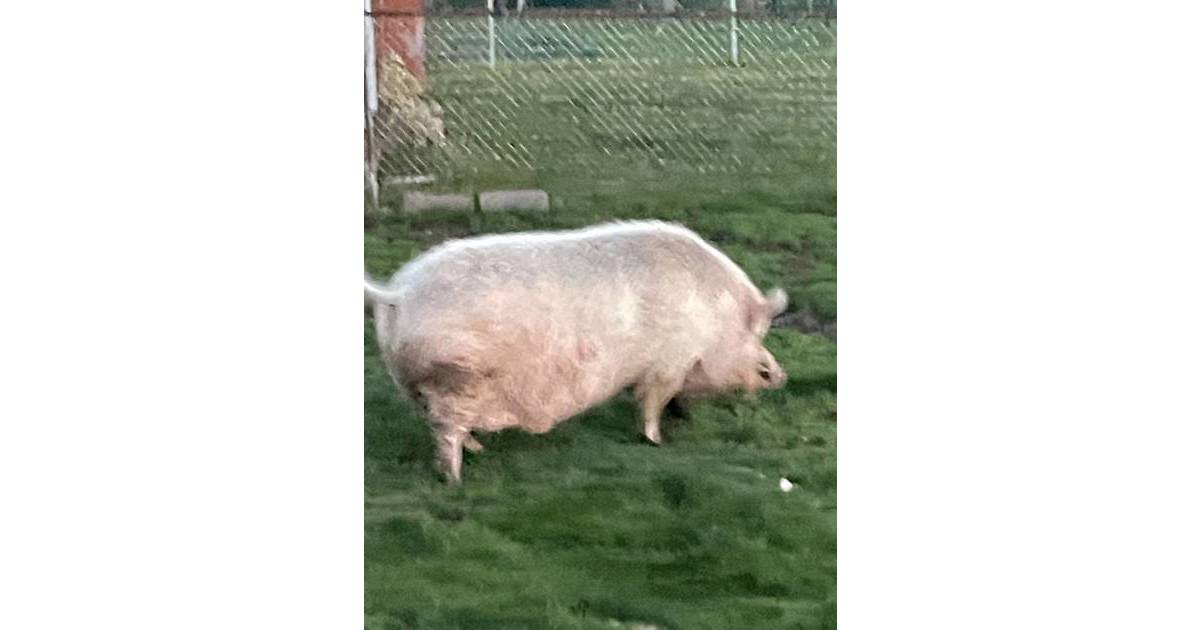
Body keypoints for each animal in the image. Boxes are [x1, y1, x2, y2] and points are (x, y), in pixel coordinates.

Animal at [364, 220, 788, 483]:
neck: (712, 311)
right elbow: (652, 402)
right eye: (755, 332)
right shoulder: (667, 362)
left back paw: (478, 449)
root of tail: (398, 292)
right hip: (455, 374)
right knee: (446, 429)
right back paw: (454, 480)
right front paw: (656, 441)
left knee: (438, 421)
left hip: (422, 381)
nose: (780, 374)